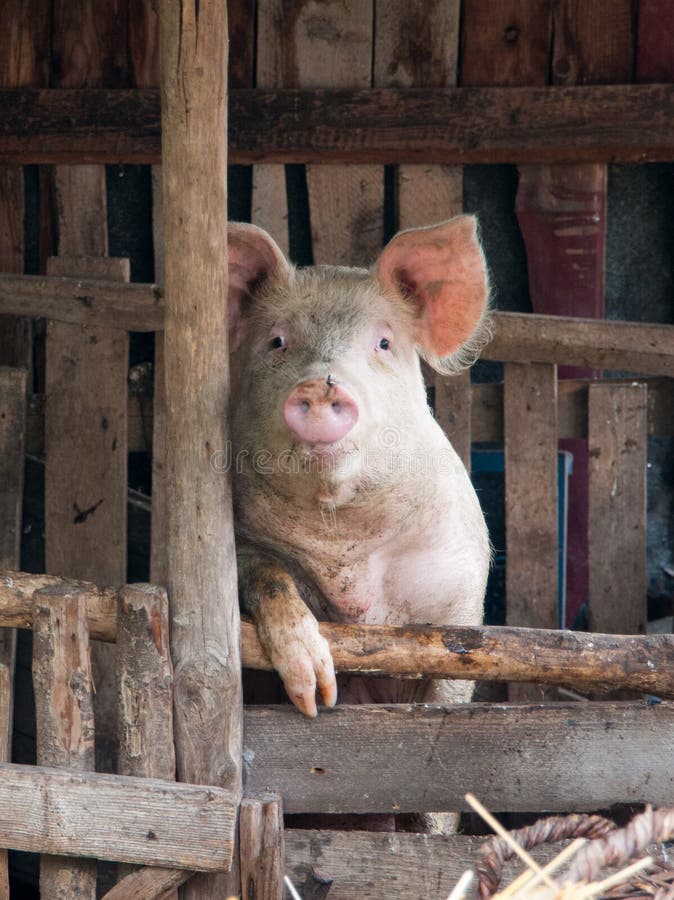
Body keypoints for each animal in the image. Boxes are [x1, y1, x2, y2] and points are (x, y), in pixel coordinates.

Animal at [228, 215, 491, 719]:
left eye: (383, 343)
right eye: (277, 341)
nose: (320, 384)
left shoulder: (460, 588)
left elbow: (451, 673)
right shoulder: (242, 540)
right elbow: (268, 576)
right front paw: (315, 699)